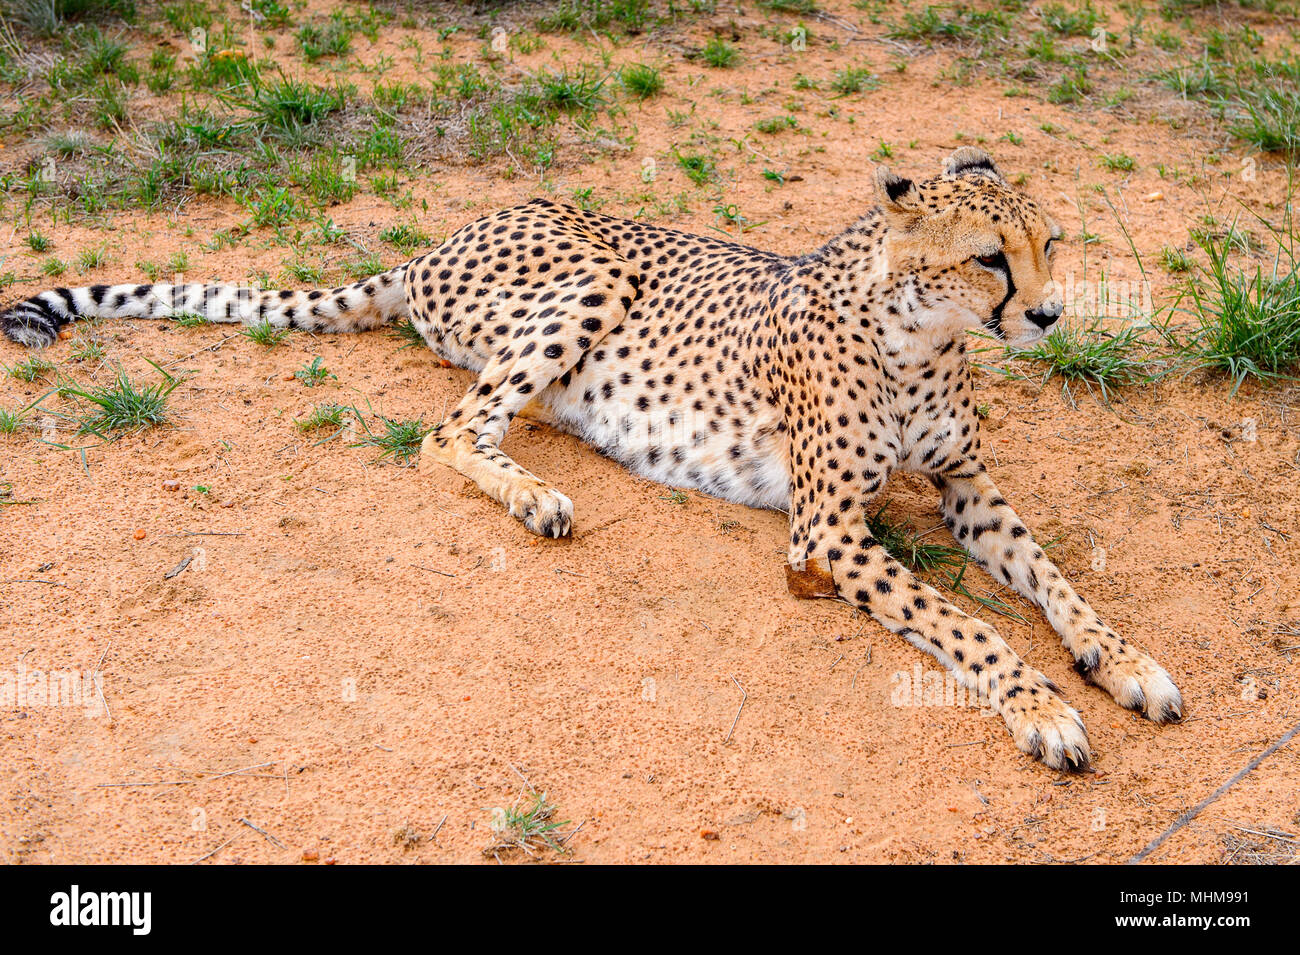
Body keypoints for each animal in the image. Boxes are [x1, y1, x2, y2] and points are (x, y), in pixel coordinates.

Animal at [1, 147, 1183, 770]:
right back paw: (536, 498)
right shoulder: (826, 535)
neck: (919, 336)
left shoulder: (966, 487)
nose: (1050, 315)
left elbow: (1053, 579)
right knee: (448, 432)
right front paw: (1038, 704)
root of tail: (439, 240)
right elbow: (965, 621)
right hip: (591, 281)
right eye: (989, 259)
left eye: (1050, 245)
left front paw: (1120, 659)